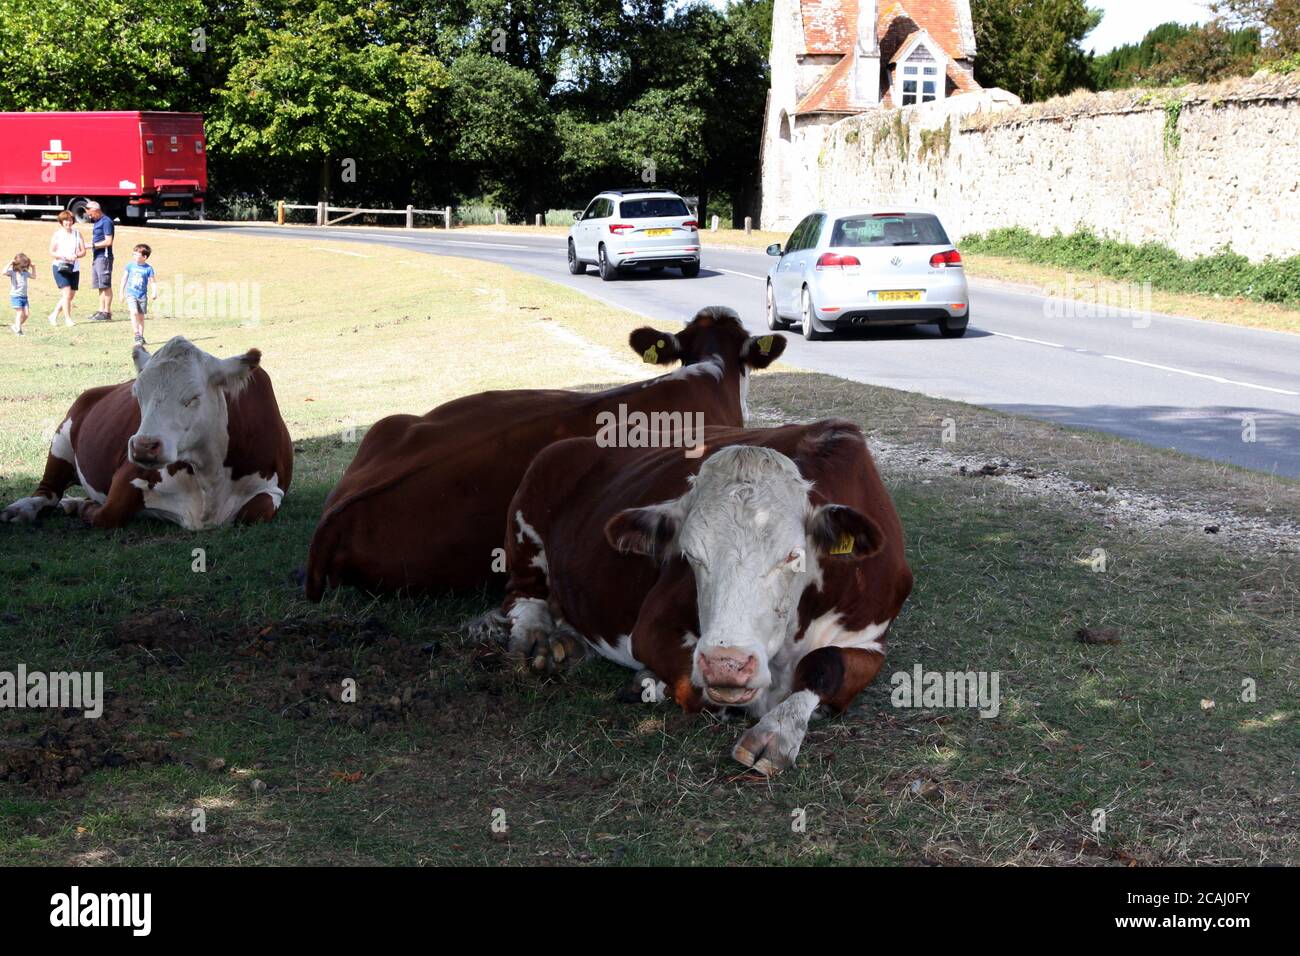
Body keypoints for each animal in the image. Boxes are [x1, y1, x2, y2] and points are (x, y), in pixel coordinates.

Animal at [0, 336, 292, 530]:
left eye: (193, 397)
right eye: (137, 393)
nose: (143, 446)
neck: (209, 476)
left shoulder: (272, 489)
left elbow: (256, 512)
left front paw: (81, 504)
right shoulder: (129, 474)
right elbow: (108, 513)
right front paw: (86, 508)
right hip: (62, 439)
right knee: (48, 492)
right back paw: (23, 509)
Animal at [477, 420, 912, 776]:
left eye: (793, 555)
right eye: (689, 555)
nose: (726, 663)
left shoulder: (870, 641)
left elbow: (825, 666)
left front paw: (776, 732)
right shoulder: (652, 629)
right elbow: (703, 691)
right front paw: (652, 681)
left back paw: (565, 645)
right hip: (526, 527)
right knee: (522, 597)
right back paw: (536, 639)